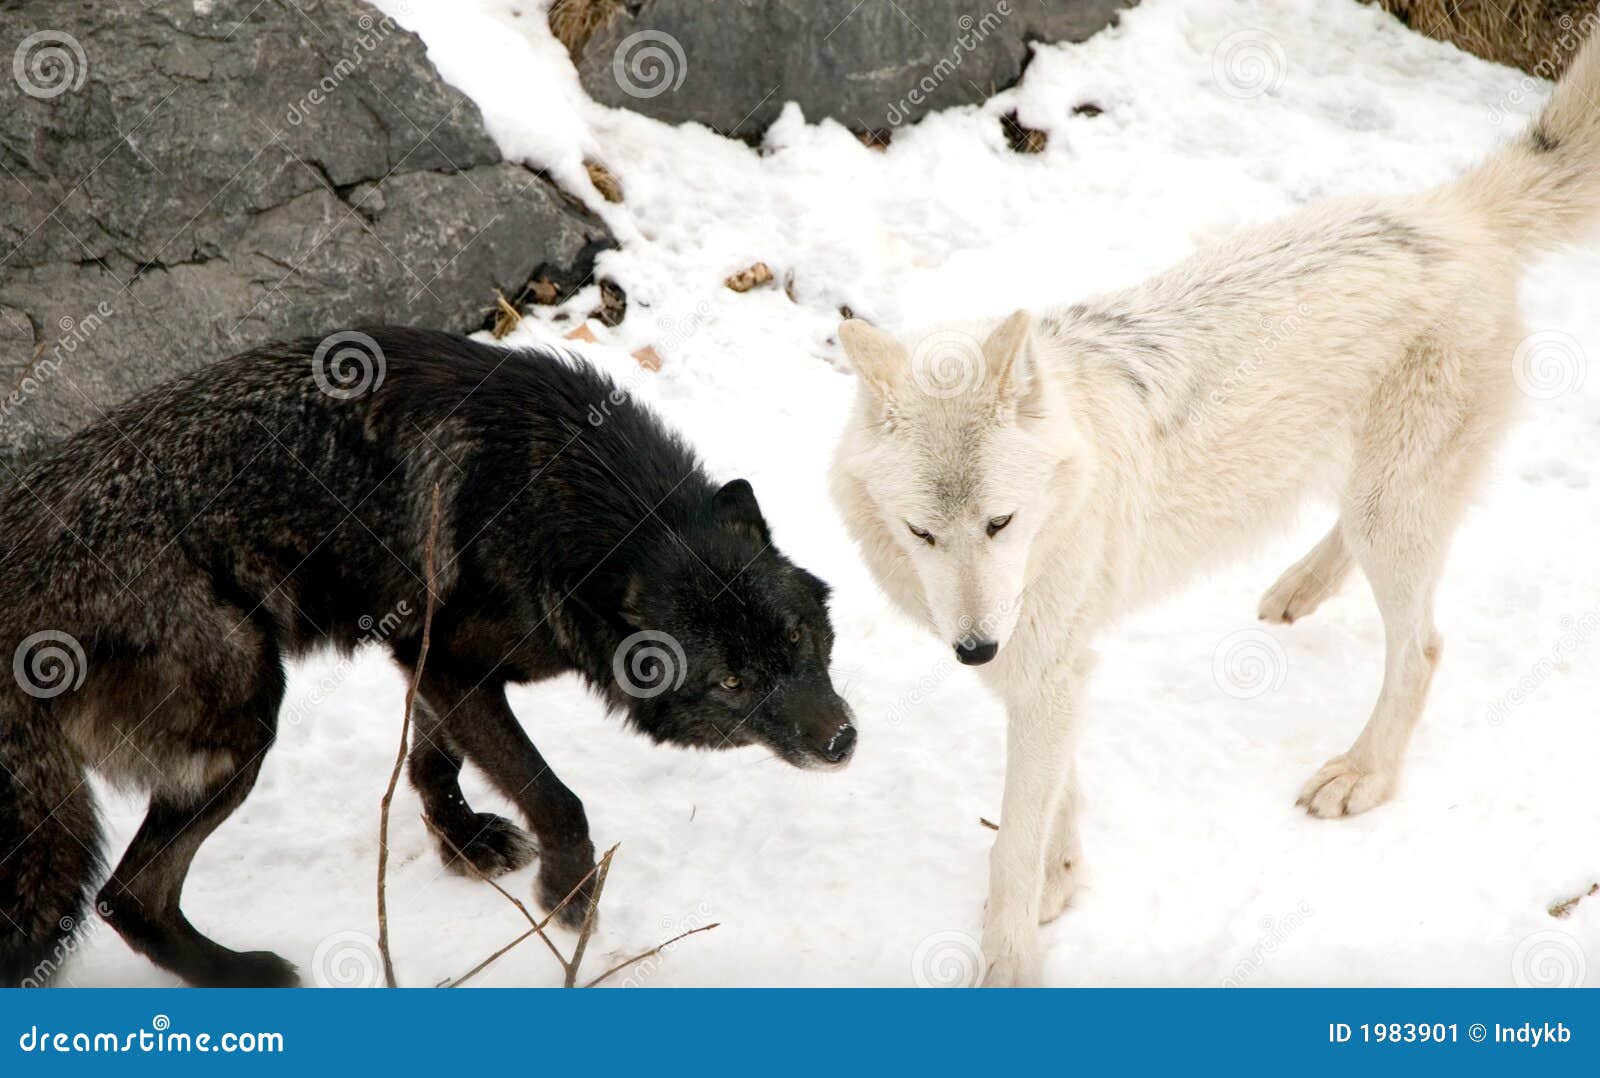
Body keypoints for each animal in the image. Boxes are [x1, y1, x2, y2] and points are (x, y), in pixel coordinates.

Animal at [0, 327, 854, 987]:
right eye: (733, 682)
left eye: (796, 637)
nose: (841, 741)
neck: (562, 502)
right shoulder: (450, 664)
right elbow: (553, 796)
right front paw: (568, 894)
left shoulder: (434, 664)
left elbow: (432, 758)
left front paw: (464, 844)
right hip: (244, 718)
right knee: (126, 894)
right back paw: (241, 975)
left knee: (124, 896)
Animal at [831, 33, 1600, 985]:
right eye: (923, 533)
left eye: (999, 524)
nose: (972, 651)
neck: (1062, 499)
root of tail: (1454, 211)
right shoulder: (1047, 667)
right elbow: (1056, 799)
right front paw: (1062, 885)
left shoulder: (1045, 664)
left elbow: (1013, 836)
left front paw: (1010, 959)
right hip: (1372, 490)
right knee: (1355, 548)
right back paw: (1299, 589)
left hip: (1393, 511)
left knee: (1421, 648)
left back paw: (1363, 774)